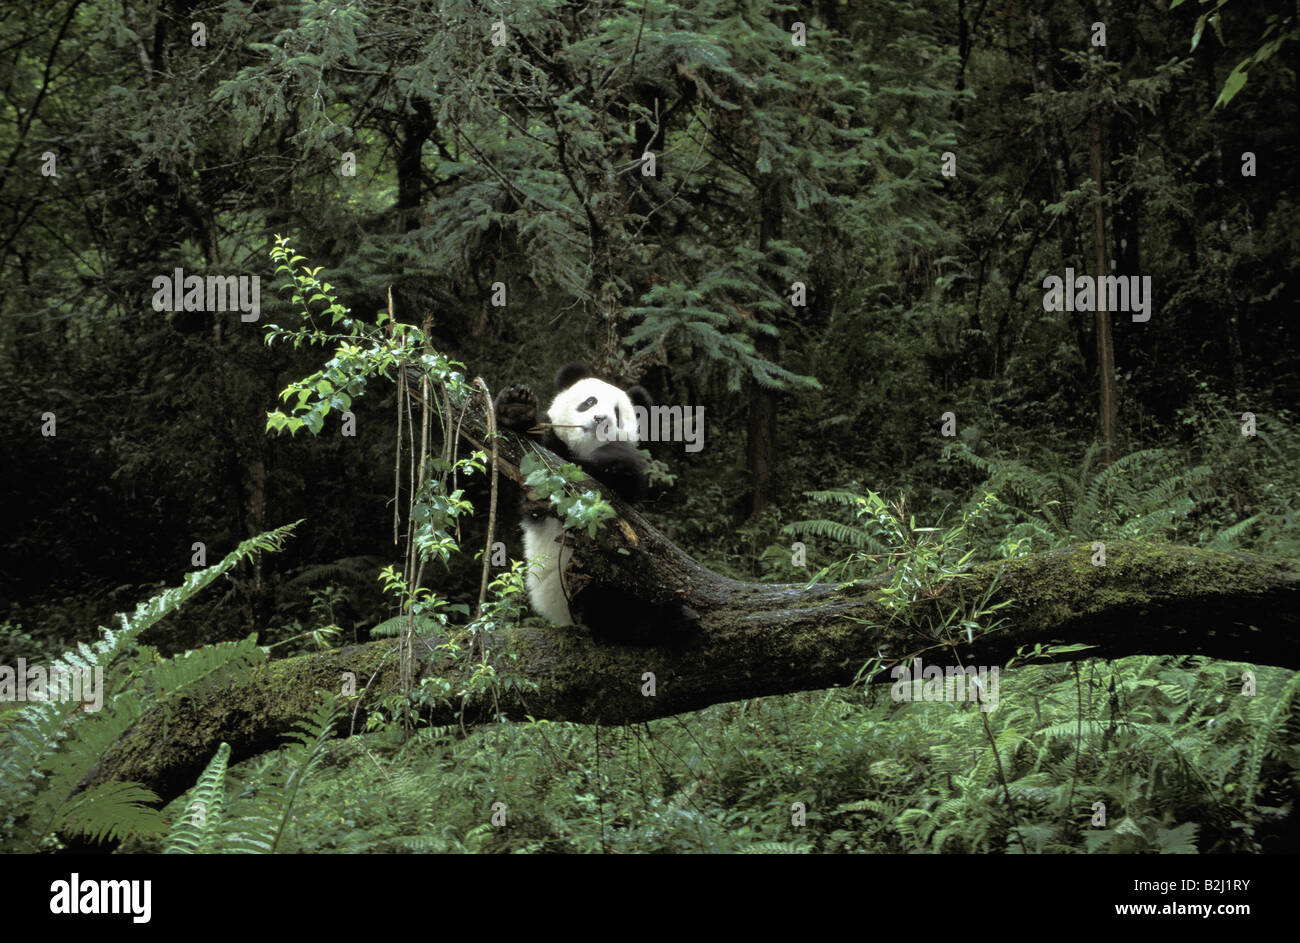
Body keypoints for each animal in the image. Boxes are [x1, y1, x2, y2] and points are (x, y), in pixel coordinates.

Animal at [494, 362, 699, 643]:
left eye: (617, 412)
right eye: (589, 402)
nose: (601, 419)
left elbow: (628, 478)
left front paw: (615, 455)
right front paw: (516, 408)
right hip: (572, 584)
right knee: (613, 610)